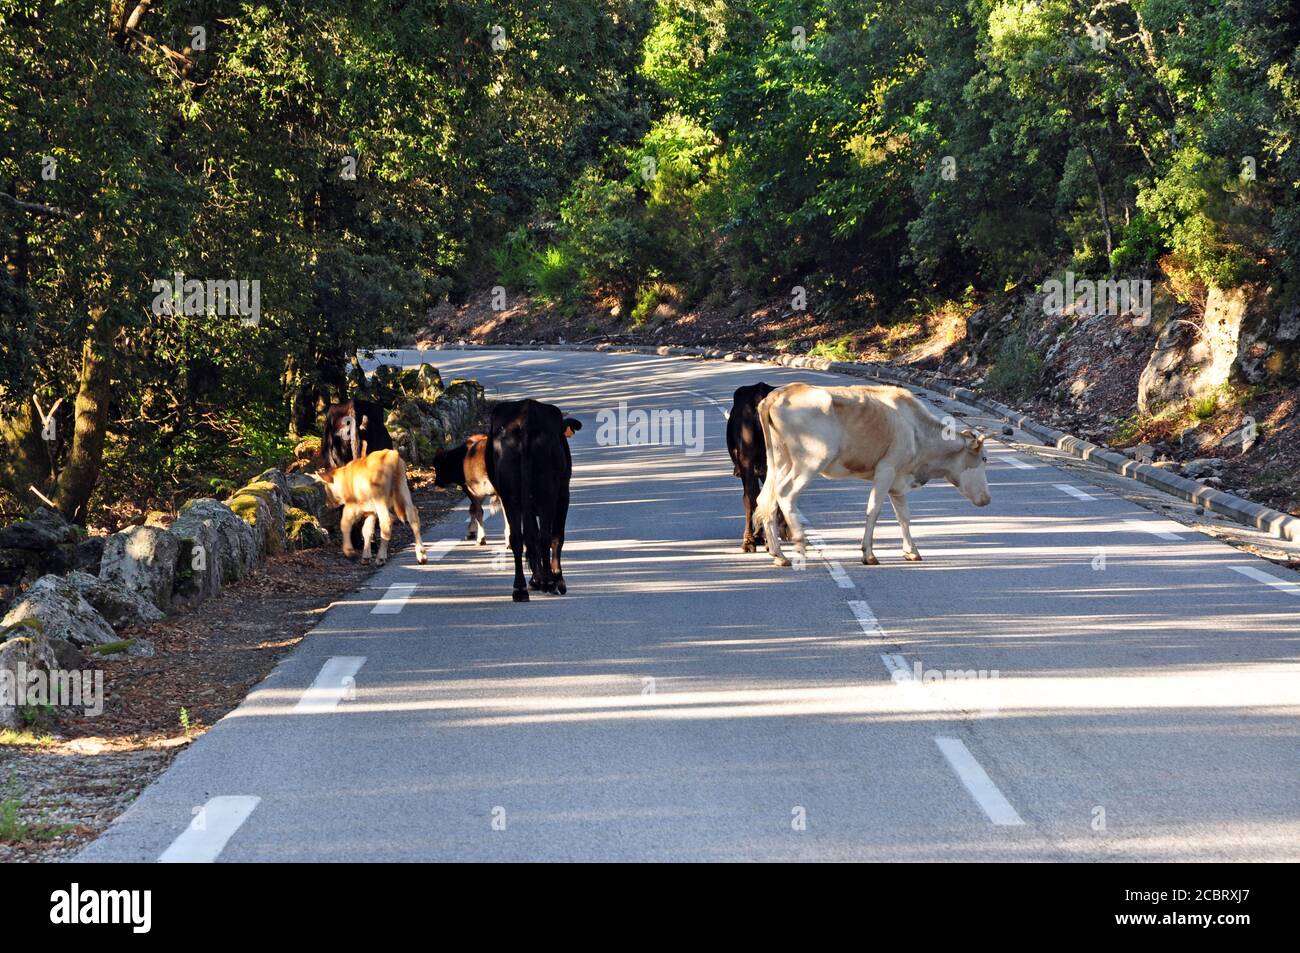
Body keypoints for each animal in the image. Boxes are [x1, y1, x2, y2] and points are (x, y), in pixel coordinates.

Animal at [485, 400, 578, 601]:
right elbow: (556, 536)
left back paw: (520, 588)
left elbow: (531, 537)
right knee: (545, 536)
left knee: (518, 538)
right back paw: (550, 582)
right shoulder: (563, 495)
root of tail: (526, 416)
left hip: (510, 496)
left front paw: (537, 579)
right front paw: (556, 579)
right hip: (548, 493)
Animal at [754, 383, 990, 567]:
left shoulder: (898, 480)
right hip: (810, 460)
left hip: (779, 461)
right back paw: (799, 543)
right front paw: (868, 554)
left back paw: (779, 555)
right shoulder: (886, 469)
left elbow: (903, 515)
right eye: (985, 459)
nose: (987, 499)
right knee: (786, 494)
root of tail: (781, 392)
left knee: (766, 499)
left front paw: (912, 551)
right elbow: (873, 510)